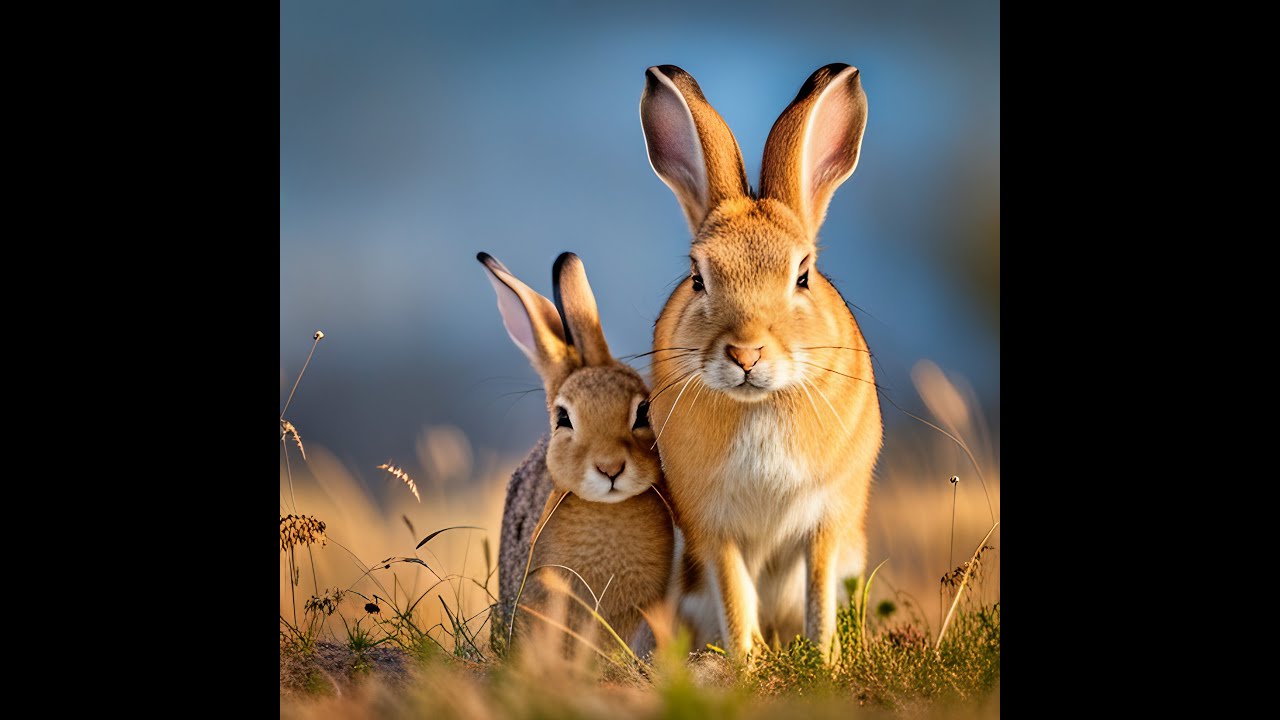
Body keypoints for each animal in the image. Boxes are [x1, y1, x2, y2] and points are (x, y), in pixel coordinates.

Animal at [638, 64, 882, 663]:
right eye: (698, 277)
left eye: (804, 275)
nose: (746, 353)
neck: (759, 402)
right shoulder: (713, 528)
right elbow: (734, 598)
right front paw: (747, 665)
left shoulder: (826, 521)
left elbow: (819, 595)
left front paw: (823, 664)